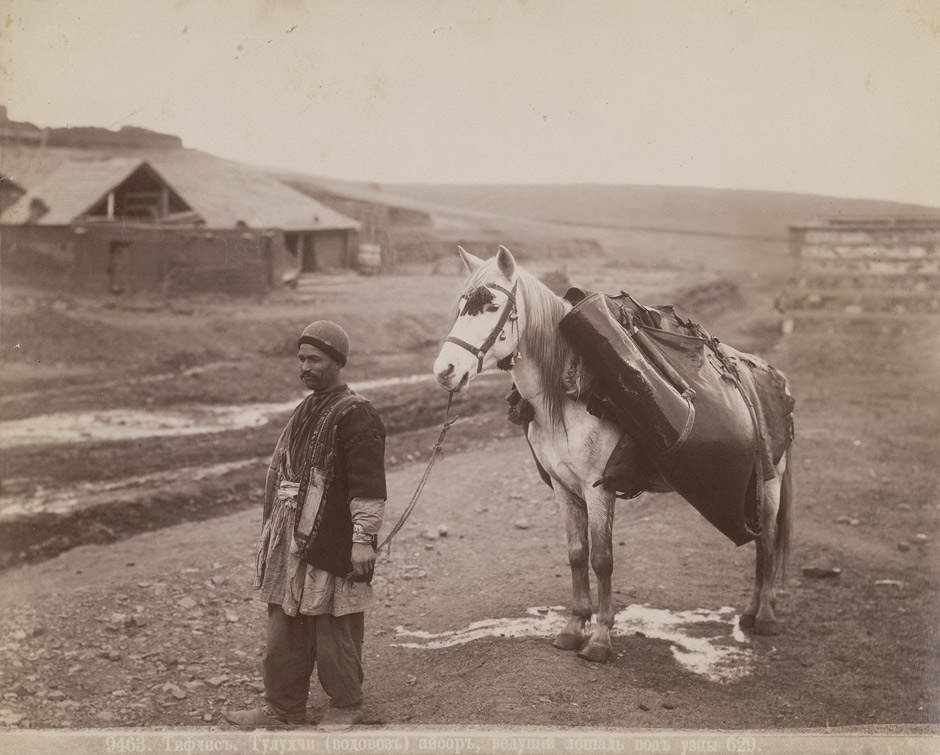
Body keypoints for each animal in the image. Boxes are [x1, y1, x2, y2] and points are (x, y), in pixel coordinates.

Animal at [432, 245, 793, 663]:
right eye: (461, 305)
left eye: (491, 305)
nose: (445, 370)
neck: (566, 395)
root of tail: (774, 377)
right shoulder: (563, 488)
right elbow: (576, 554)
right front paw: (573, 628)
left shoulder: (598, 487)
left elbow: (602, 560)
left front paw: (601, 639)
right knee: (762, 543)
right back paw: (751, 612)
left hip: (770, 480)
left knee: (767, 539)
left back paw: (765, 615)